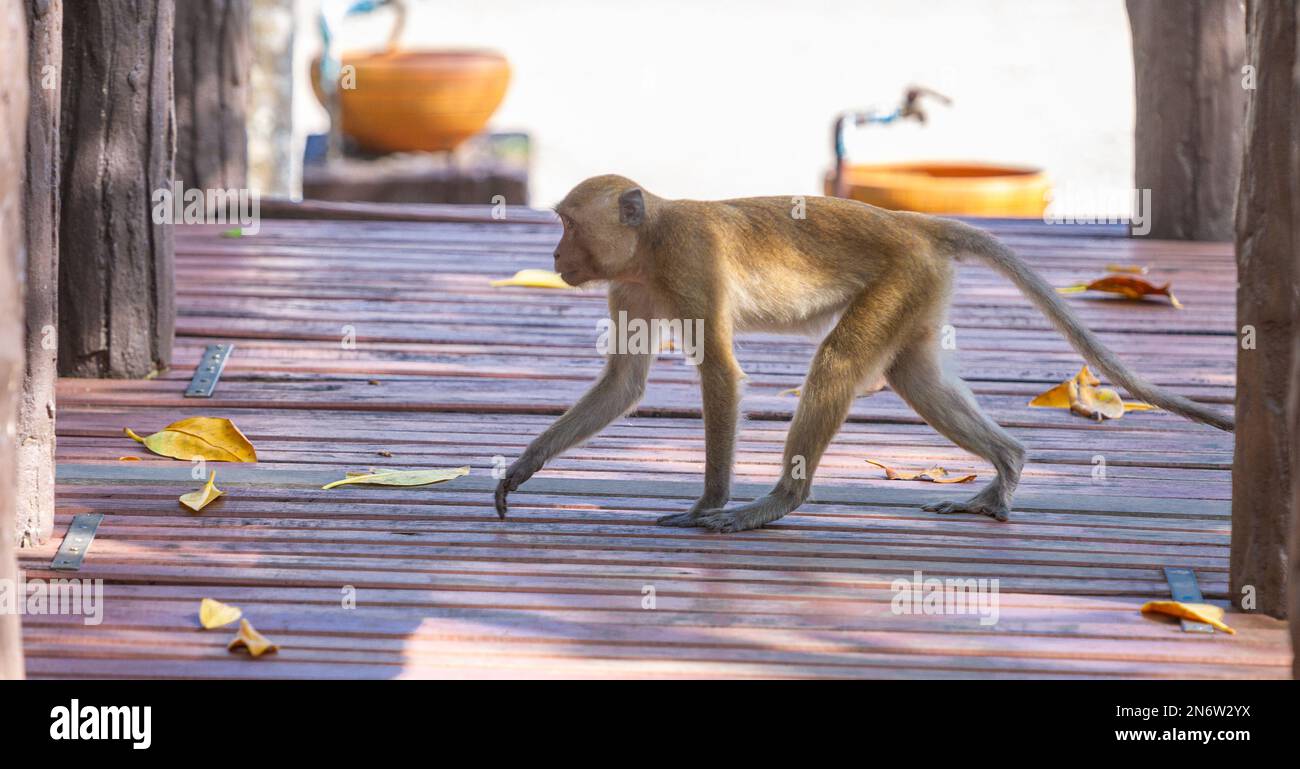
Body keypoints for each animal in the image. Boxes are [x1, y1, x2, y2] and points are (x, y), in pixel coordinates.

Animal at [493, 174, 1234, 532]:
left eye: (566, 223)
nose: (553, 255)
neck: (647, 245)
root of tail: (911, 223)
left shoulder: (689, 260)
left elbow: (723, 376)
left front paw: (707, 504)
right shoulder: (629, 284)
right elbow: (624, 382)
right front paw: (523, 466)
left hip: (901, 274)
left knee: (839, 364)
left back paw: (777, 502)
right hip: (920, 287)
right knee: (915, 374)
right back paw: (1005, 469)